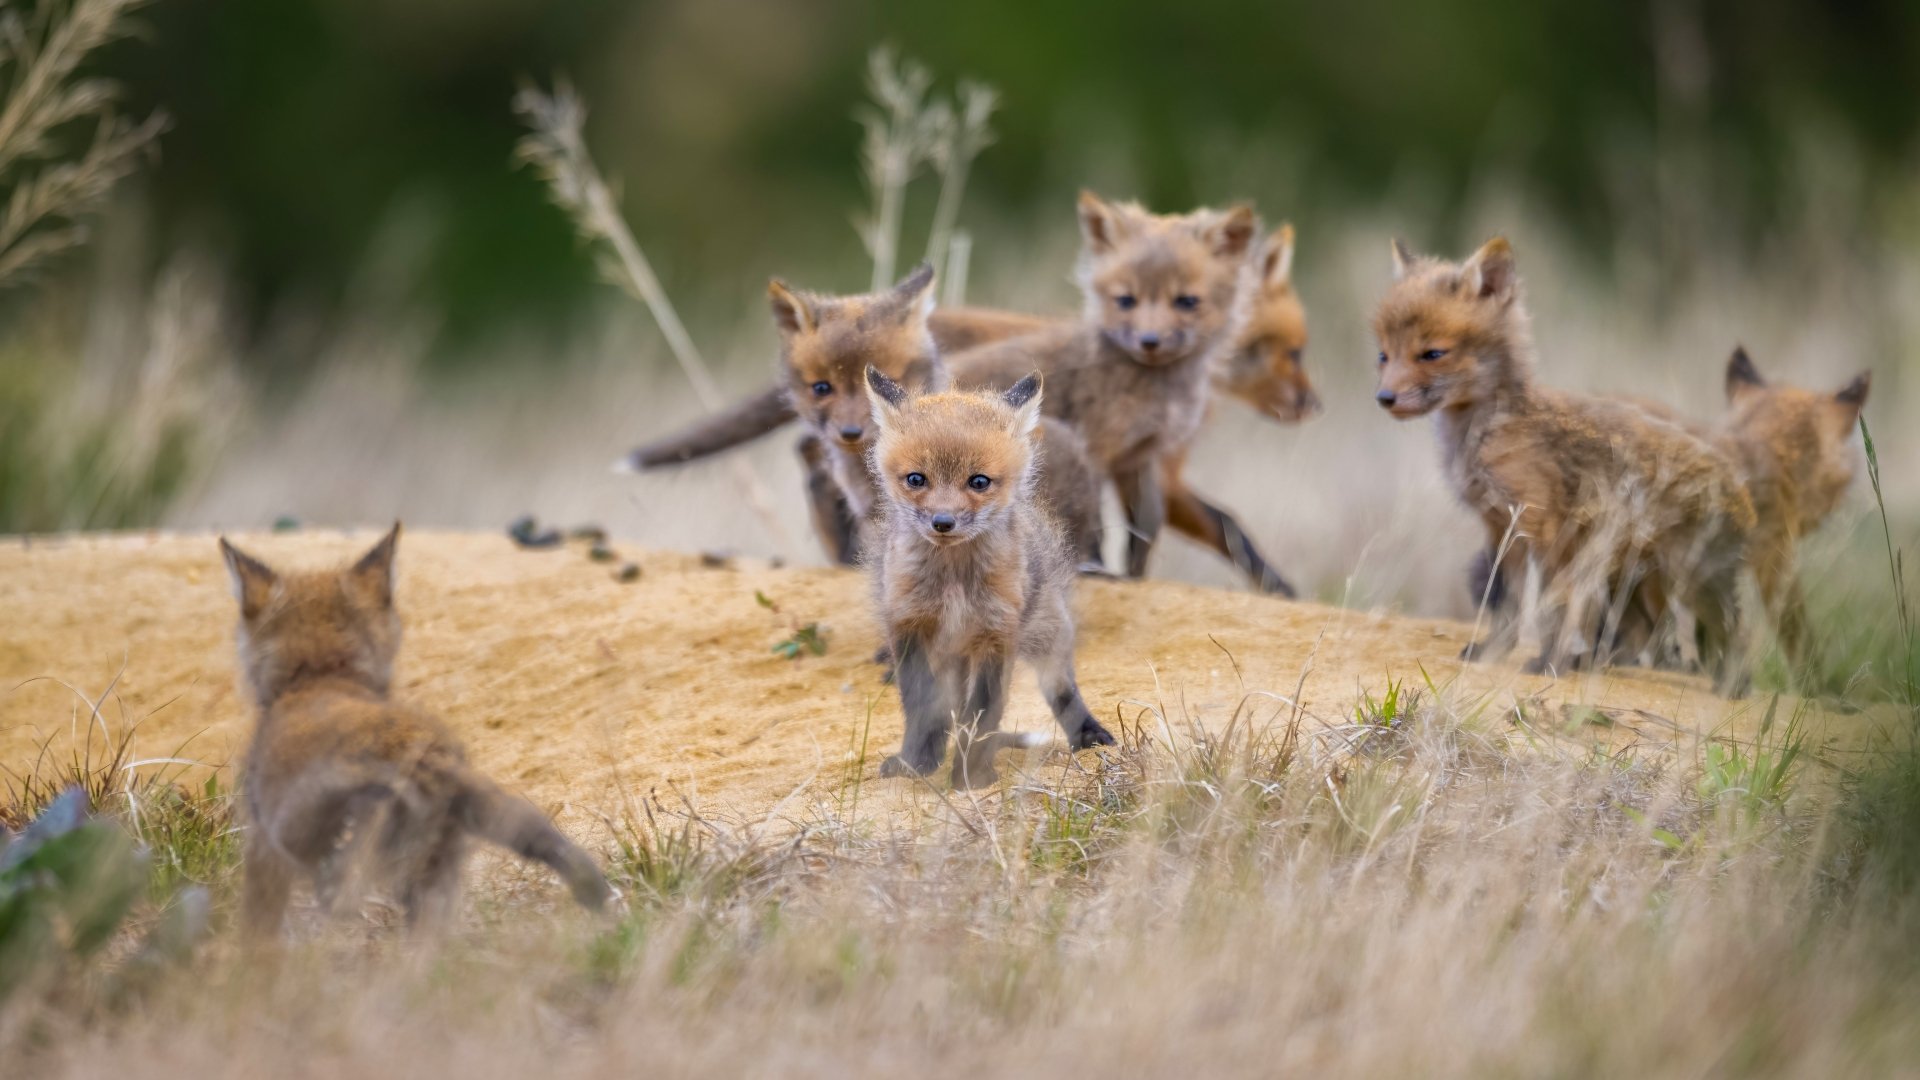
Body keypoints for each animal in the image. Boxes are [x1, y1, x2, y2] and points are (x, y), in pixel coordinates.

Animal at [220, 525, 612, 935]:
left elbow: (257, 932)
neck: (322, 678)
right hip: (437, 874)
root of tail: (426, 758)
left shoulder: (263, 847)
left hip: (352, 870)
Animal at [619, 220, 1315, 594]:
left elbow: (1187, 531)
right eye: (822, 387)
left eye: (1295, 350)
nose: (1313, 403)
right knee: (808, 457)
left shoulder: (1143, 465)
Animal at [863, 367, 1115, 788]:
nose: (943, 522)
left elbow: (982, 716)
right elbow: (923, 707)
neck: (953, 580)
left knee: (1061, 688)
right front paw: (916, 763)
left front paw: (972, 776)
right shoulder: (910, 625)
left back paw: (1088, 734)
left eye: (978, 481)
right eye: (916, 479)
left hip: (1049, 635)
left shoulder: (996, 632)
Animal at [1374, 237, 1755, 692]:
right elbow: (1507, 608)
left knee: (1737, 632)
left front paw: (1548, 663)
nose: (1383, 398)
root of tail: (1742, 489)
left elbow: (1555, 612)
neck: (1488, 431)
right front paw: (1494, 654)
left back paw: (1731, 687)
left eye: (1432, 353)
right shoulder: (1502, 529)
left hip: (1689, 579)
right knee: (1657, 630)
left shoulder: (1545, 528)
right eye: (1383, 355)